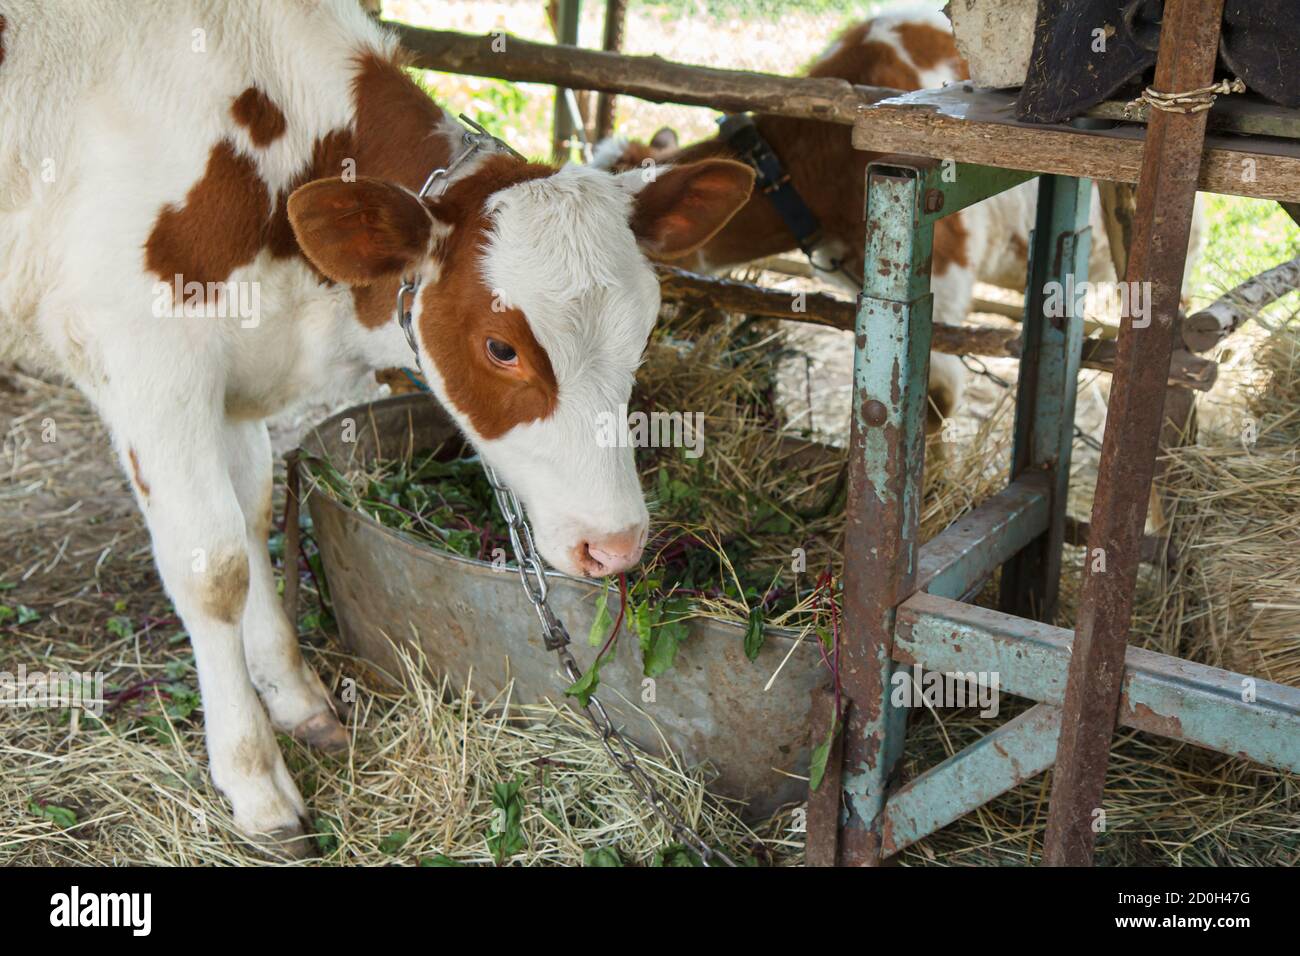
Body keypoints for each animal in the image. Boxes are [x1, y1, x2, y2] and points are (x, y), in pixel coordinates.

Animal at [0, 0, 753, 856]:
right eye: (501, 347)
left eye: (645, 329)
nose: (617, 544)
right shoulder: (152, 364)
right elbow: (214, 569)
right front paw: (255, 780)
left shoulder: (239, 373)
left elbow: (254, 520)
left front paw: (295, 696)